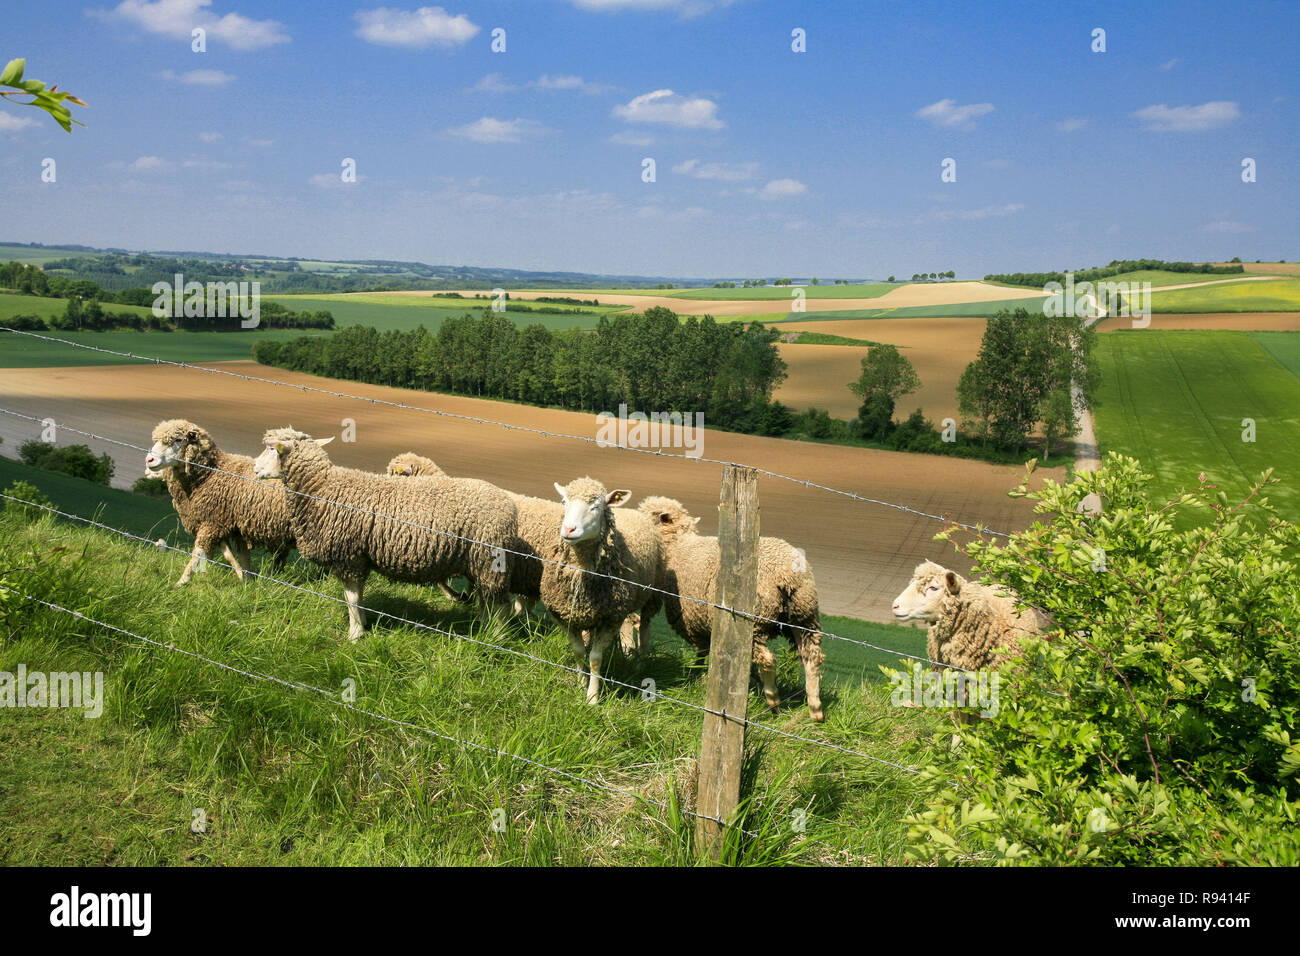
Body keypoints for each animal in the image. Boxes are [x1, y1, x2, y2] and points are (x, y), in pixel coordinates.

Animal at [144, 419, 294, 587]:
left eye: (178, 440)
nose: (149, 461)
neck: (210, 473)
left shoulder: (212, 523)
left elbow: (198, 554)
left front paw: (180, 583)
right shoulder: (227, 524)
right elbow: (236, 556)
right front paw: (246, 581)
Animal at [254, 428, 518, 642]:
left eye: (271, 448)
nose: (255, 469)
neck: (321, 487)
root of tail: (509, 506)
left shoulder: (349, 557)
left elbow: (351, 598)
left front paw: (354, 634)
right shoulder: (360, 558)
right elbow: (358, 596)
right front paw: (363, 623)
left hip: (489, 562)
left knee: (501, 605)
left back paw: (496, 638)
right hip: (478, 565)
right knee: (487, 601)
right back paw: (483, 628)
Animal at [541, 477, 663, 705]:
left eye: (596, 506)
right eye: (564, 502)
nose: (569, 529)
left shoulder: (610, 618)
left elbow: (595, 659)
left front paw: (592, 698)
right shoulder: (565, 616)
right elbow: (579, 651)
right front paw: (580, 684)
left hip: (651, 596)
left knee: (644, 630)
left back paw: (639, 664)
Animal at [637, 496, 825, 722]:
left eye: (648, 516)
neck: (678, 544)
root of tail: (787, 573)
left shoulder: (693, 621)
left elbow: (703, 651)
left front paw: (700, 674)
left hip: (755, 623)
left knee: (767, 659)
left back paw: (773, 701)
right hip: (804, 616)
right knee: (812, 657)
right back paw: (815, 709)